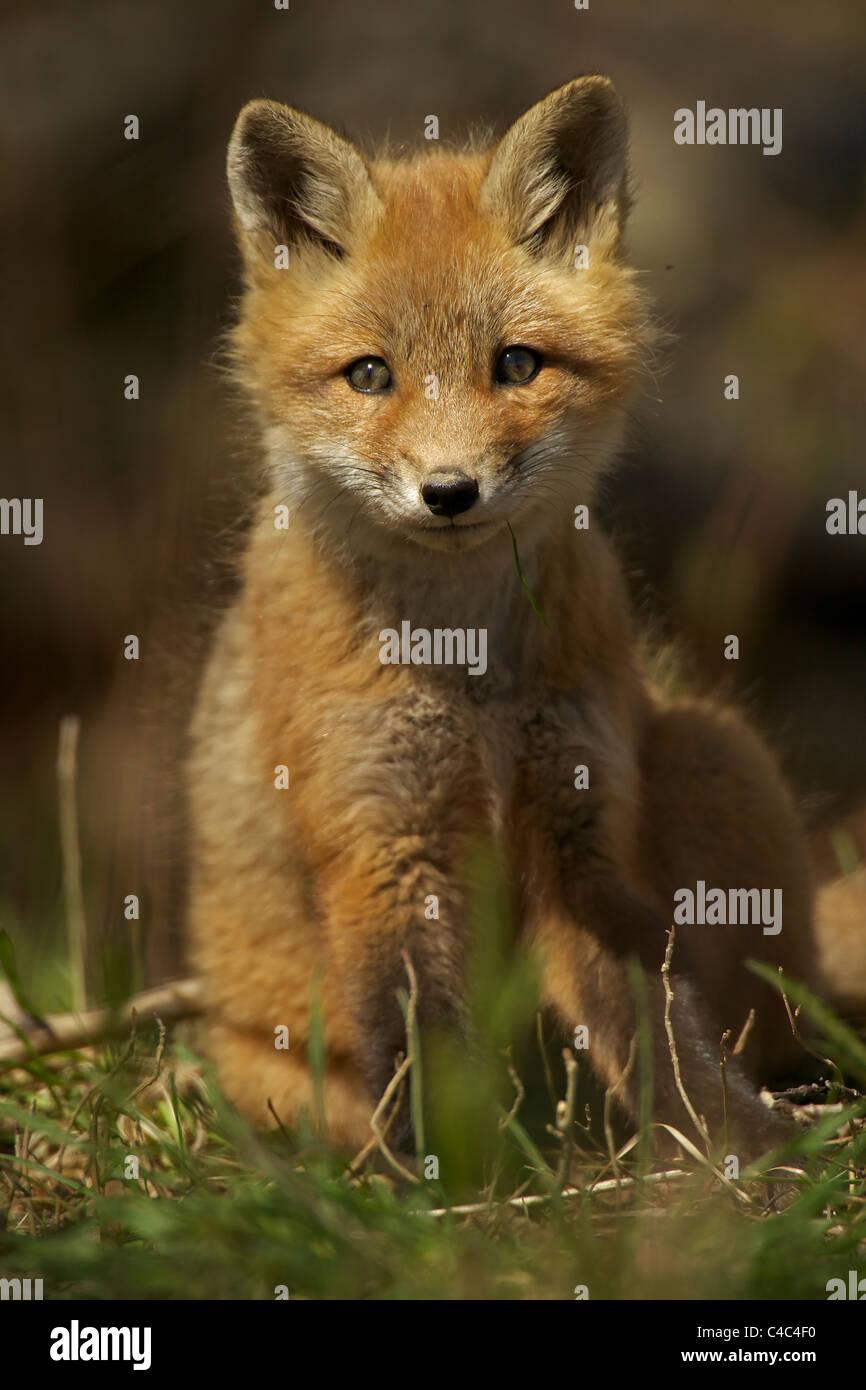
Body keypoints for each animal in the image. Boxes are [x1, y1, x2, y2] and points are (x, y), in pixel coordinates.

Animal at [186, 76, 865, 1163]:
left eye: (516, 365)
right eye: (369, 375)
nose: (449, 492)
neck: (467, 674)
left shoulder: (578, 831)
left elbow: (658, 1019)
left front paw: (734, 1141)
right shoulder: (382, 840)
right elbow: (419, 1034)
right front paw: (452, 1177)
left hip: (710, 748)